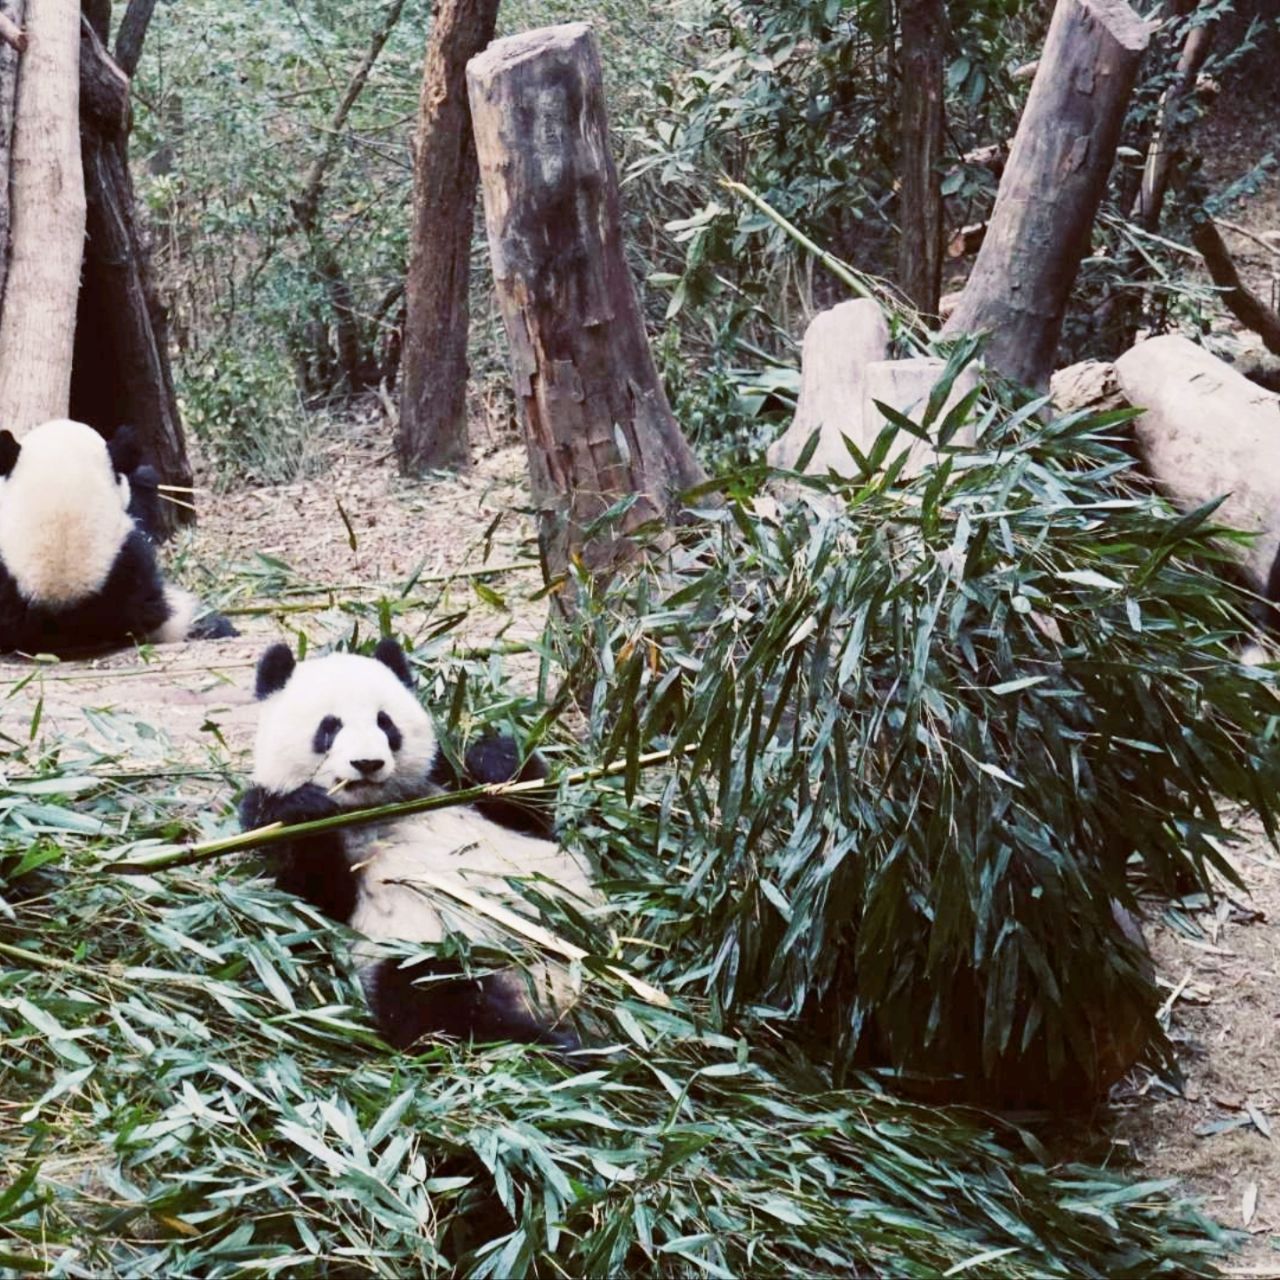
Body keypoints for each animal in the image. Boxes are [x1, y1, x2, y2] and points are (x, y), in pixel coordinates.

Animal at [239, 639, 599, 1051]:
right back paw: (554, 1044)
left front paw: (495, 761)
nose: (367, 762)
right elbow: (309, 900)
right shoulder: (265, 825)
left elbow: (527, 808)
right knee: (431, 1003)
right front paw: (307, 810)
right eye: (329, 727)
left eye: (385, 722)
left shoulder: (443, 776)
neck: (370, 809)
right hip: (424, 950)